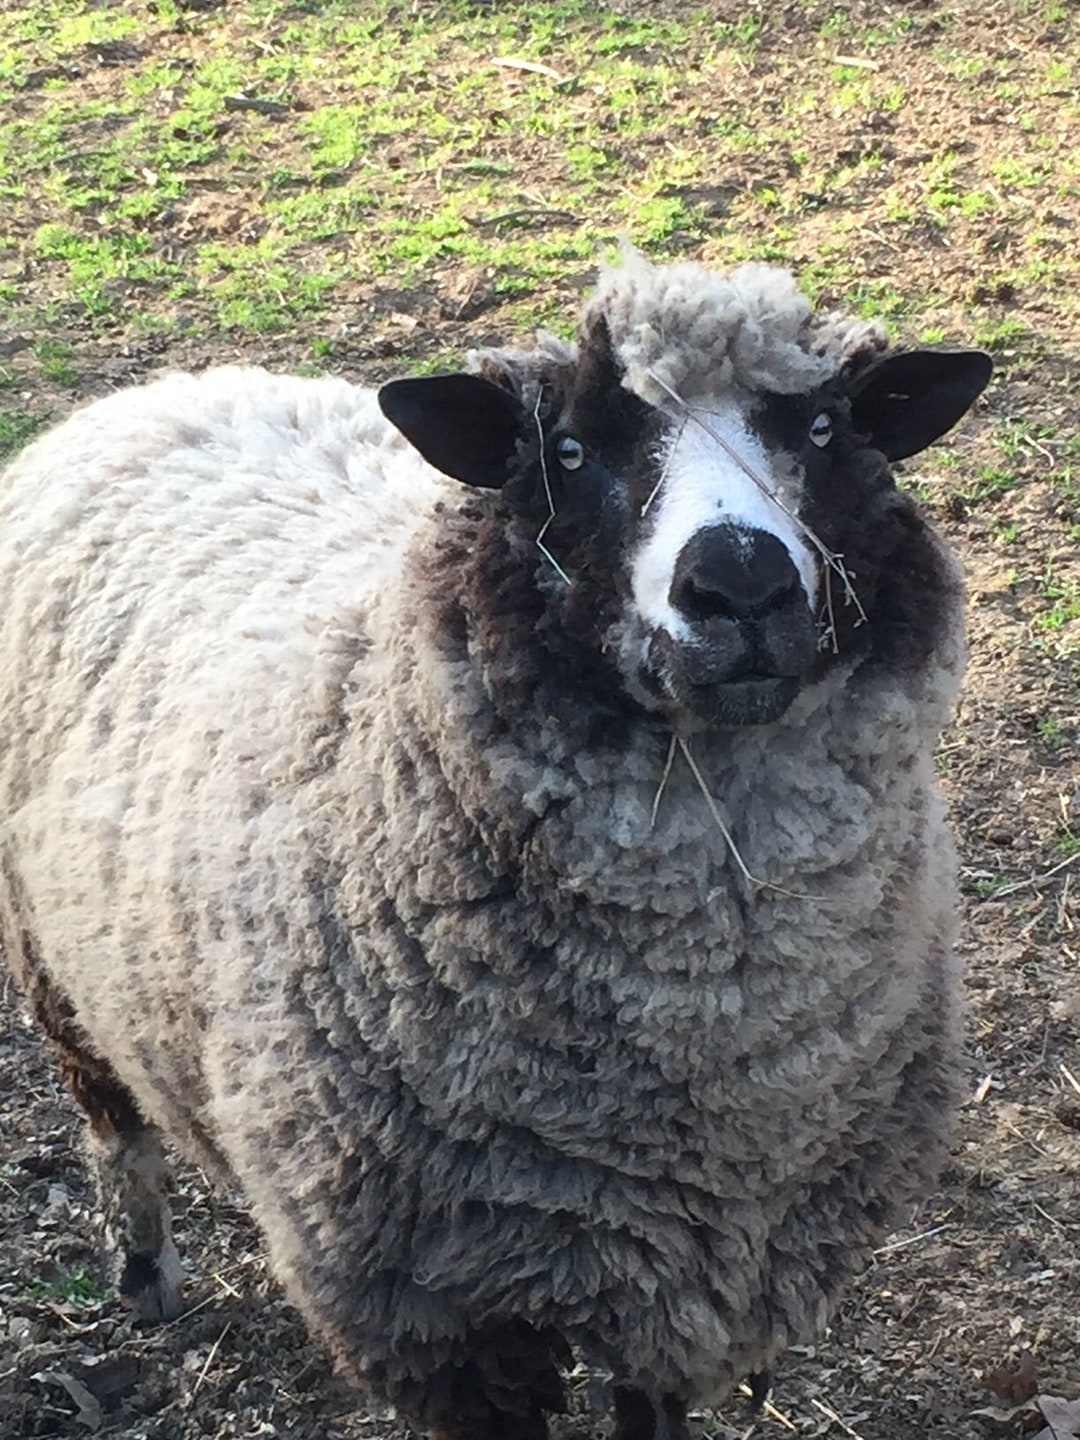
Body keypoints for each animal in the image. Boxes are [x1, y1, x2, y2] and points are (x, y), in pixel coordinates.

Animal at [0, 248, 991, 1440]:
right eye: (567, 452)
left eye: (827, 428)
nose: (741, 585)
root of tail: (149, 396)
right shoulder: (440, 1307)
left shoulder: (679, 1285)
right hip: (47, 950)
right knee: (109, 1114)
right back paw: (142, 1272)